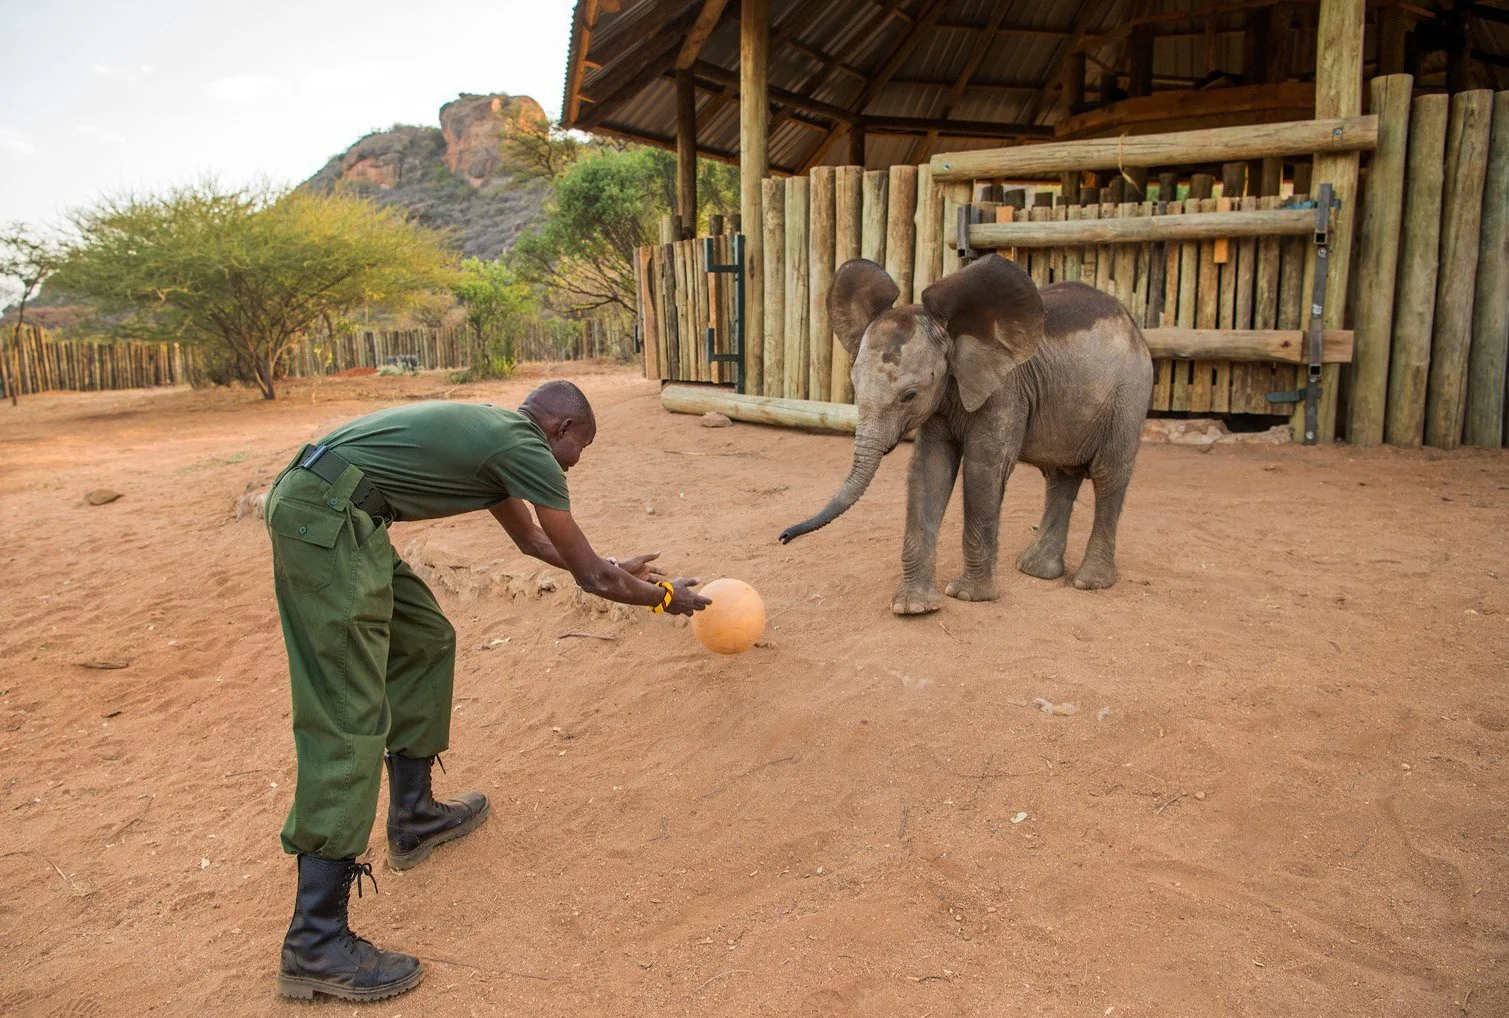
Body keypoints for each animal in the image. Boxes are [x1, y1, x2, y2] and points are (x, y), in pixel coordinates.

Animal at [778, 253, 1154, 615]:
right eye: (855, 384)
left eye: (909, 395)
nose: (783, 536)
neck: (952, 332)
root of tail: (1132, 324)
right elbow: (929, 470)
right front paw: (914, 607)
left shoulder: (1006, 389)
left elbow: (982, 470)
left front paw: (970, 597)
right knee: (1060, 475)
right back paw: (1036, 570)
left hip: (1129, 394)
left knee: (1109, 474)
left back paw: (1090, 582)